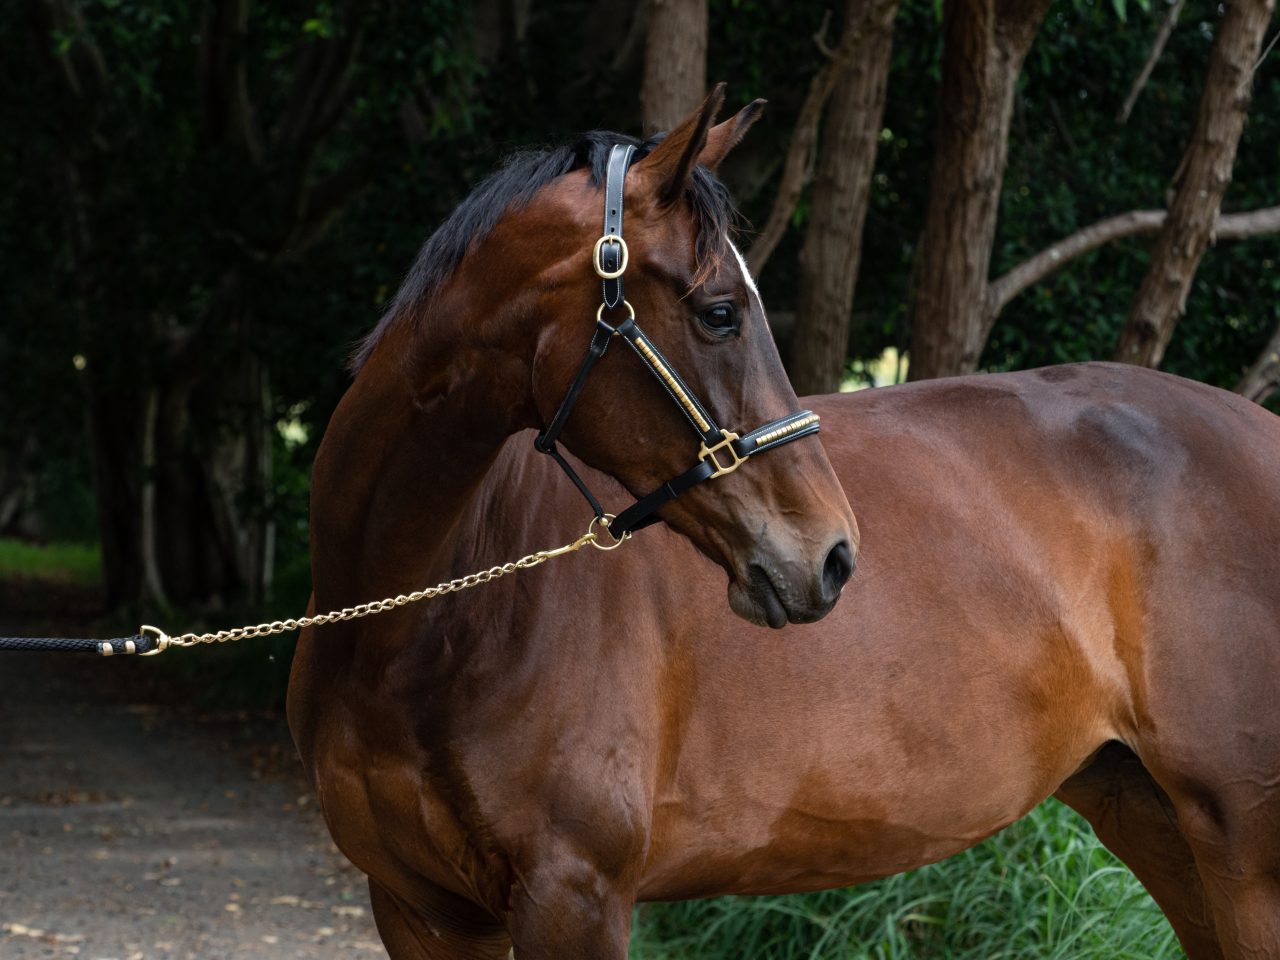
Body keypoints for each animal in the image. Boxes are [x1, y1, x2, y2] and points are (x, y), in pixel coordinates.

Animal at [288, 87, 1280, 959]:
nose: (832, 556)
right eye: (720, 312)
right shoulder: (421, 910)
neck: (419, 630)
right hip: (1152, 818)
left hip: (1244, 849)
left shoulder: (575, 896)